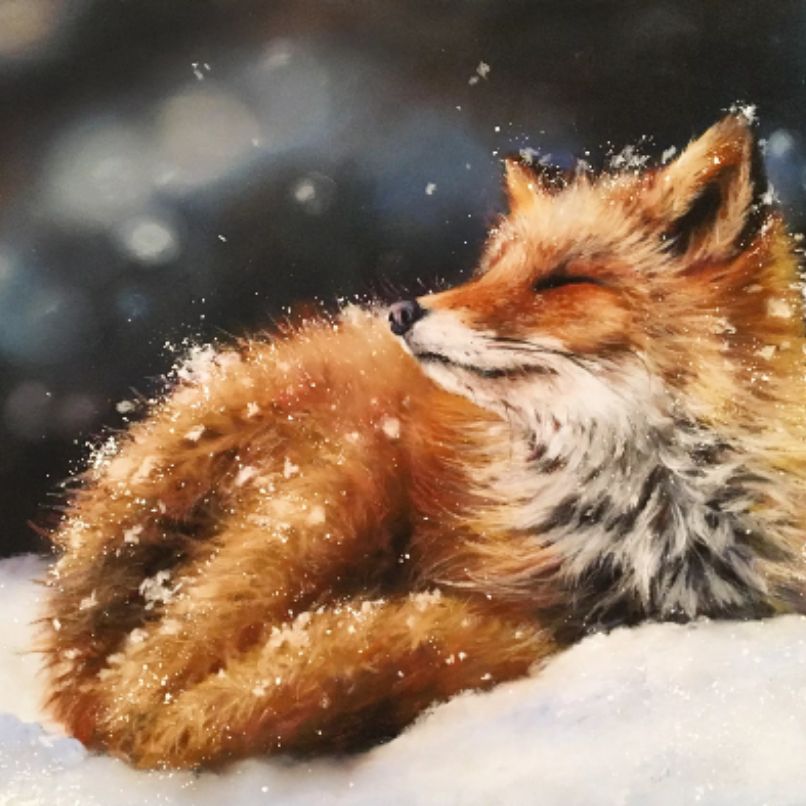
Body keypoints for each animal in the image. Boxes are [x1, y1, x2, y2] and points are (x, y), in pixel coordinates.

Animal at [40, 111, 806, 769]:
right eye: (493, 268)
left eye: (562, 281)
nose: (403, 312)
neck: (652, 519)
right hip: (338, 490)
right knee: (146, 713)